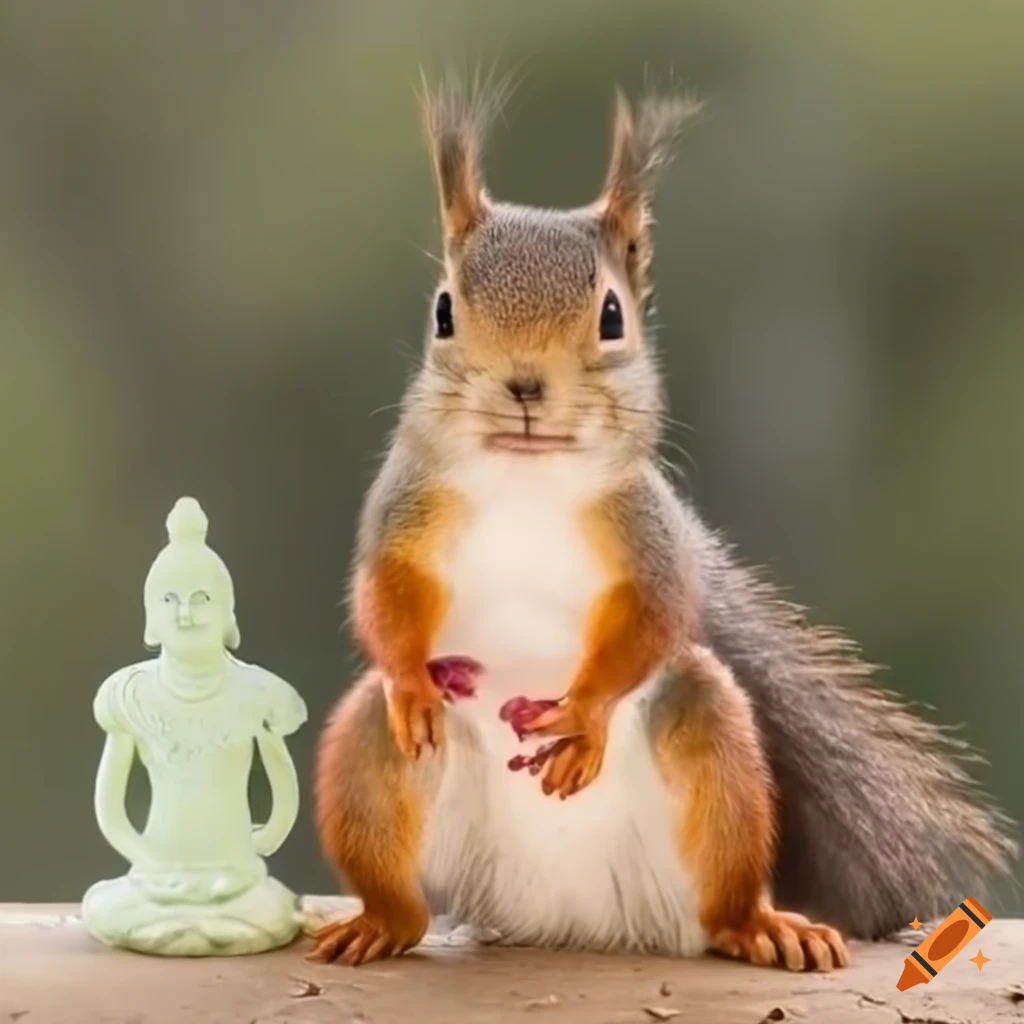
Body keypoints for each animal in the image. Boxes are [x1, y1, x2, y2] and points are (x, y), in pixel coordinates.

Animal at [309, 75, 1017, 971]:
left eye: (612, 316)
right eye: (444, 311)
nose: (523, 386)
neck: (526, 481)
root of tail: (575, 918)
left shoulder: (648, 531)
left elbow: (656, 612)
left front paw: (583, 717)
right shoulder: (404, 509)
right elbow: (382, 592)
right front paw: (406, 676)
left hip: (711, 747)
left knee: (721, 868)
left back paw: (761, 925)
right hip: (374, 761)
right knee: (391, 858)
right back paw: (378, 922)